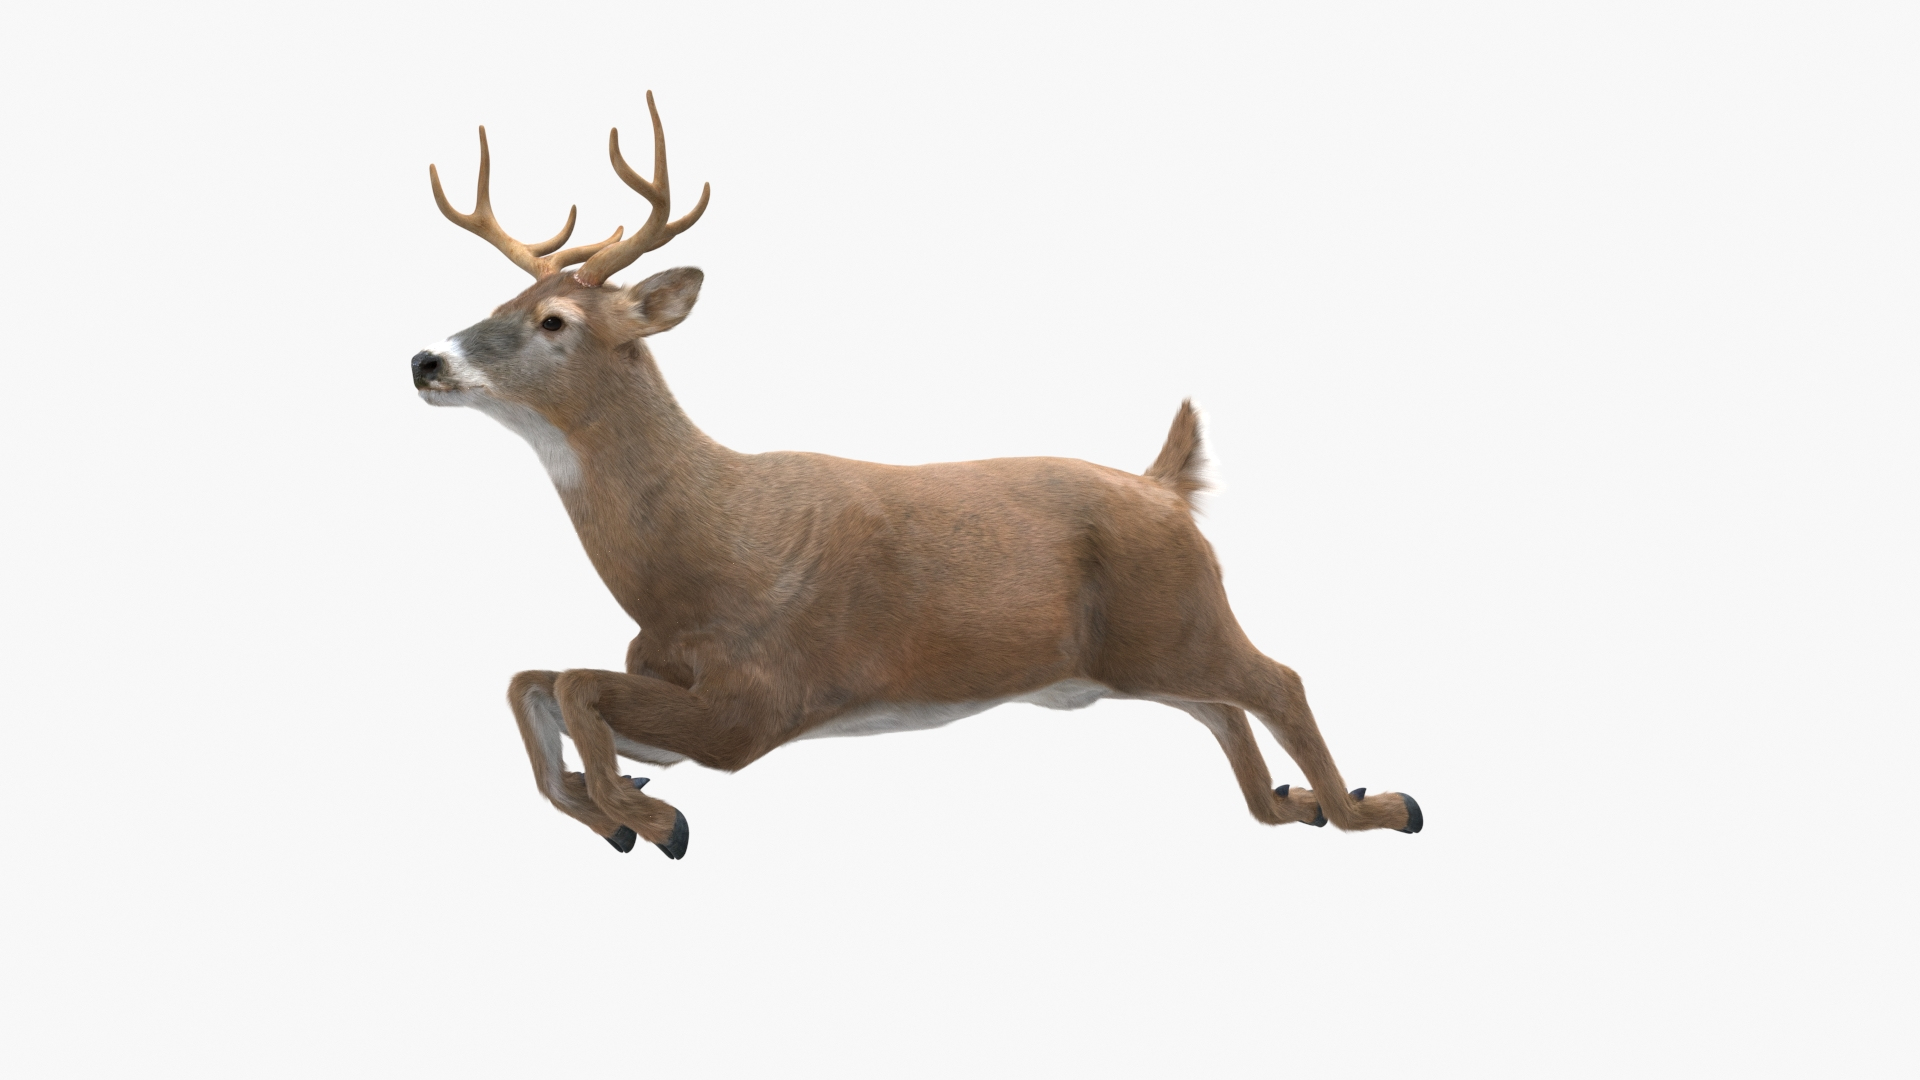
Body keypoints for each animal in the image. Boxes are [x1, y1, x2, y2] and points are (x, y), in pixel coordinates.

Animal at [411, 93, 1424, 859]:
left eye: (555, 321)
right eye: (501, 301)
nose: (425, 359)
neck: (697, 551)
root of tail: (1167, 489)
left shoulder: (764, 698)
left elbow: (572, 689)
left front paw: (647, 814)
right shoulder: (671, 672)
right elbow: (534, 684)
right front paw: (614, 802)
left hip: (1182, 614)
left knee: (1278, 680)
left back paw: (1376, 808)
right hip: (1143, 653)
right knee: (1227, 714)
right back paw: (1295, 802)